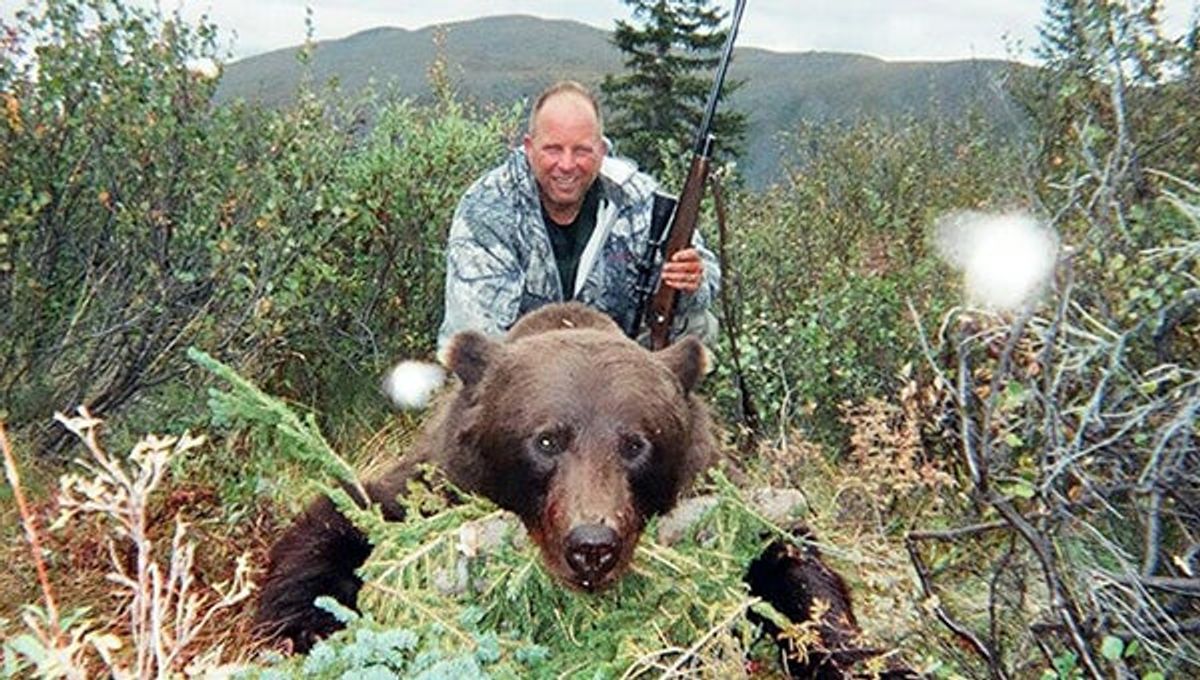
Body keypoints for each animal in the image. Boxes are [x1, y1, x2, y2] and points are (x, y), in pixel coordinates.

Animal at [255, 302, 717, 651]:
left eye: (636, 444)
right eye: (547, 440)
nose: (592, 546)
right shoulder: (432, 485)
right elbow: (337, 527)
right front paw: (307, 622)